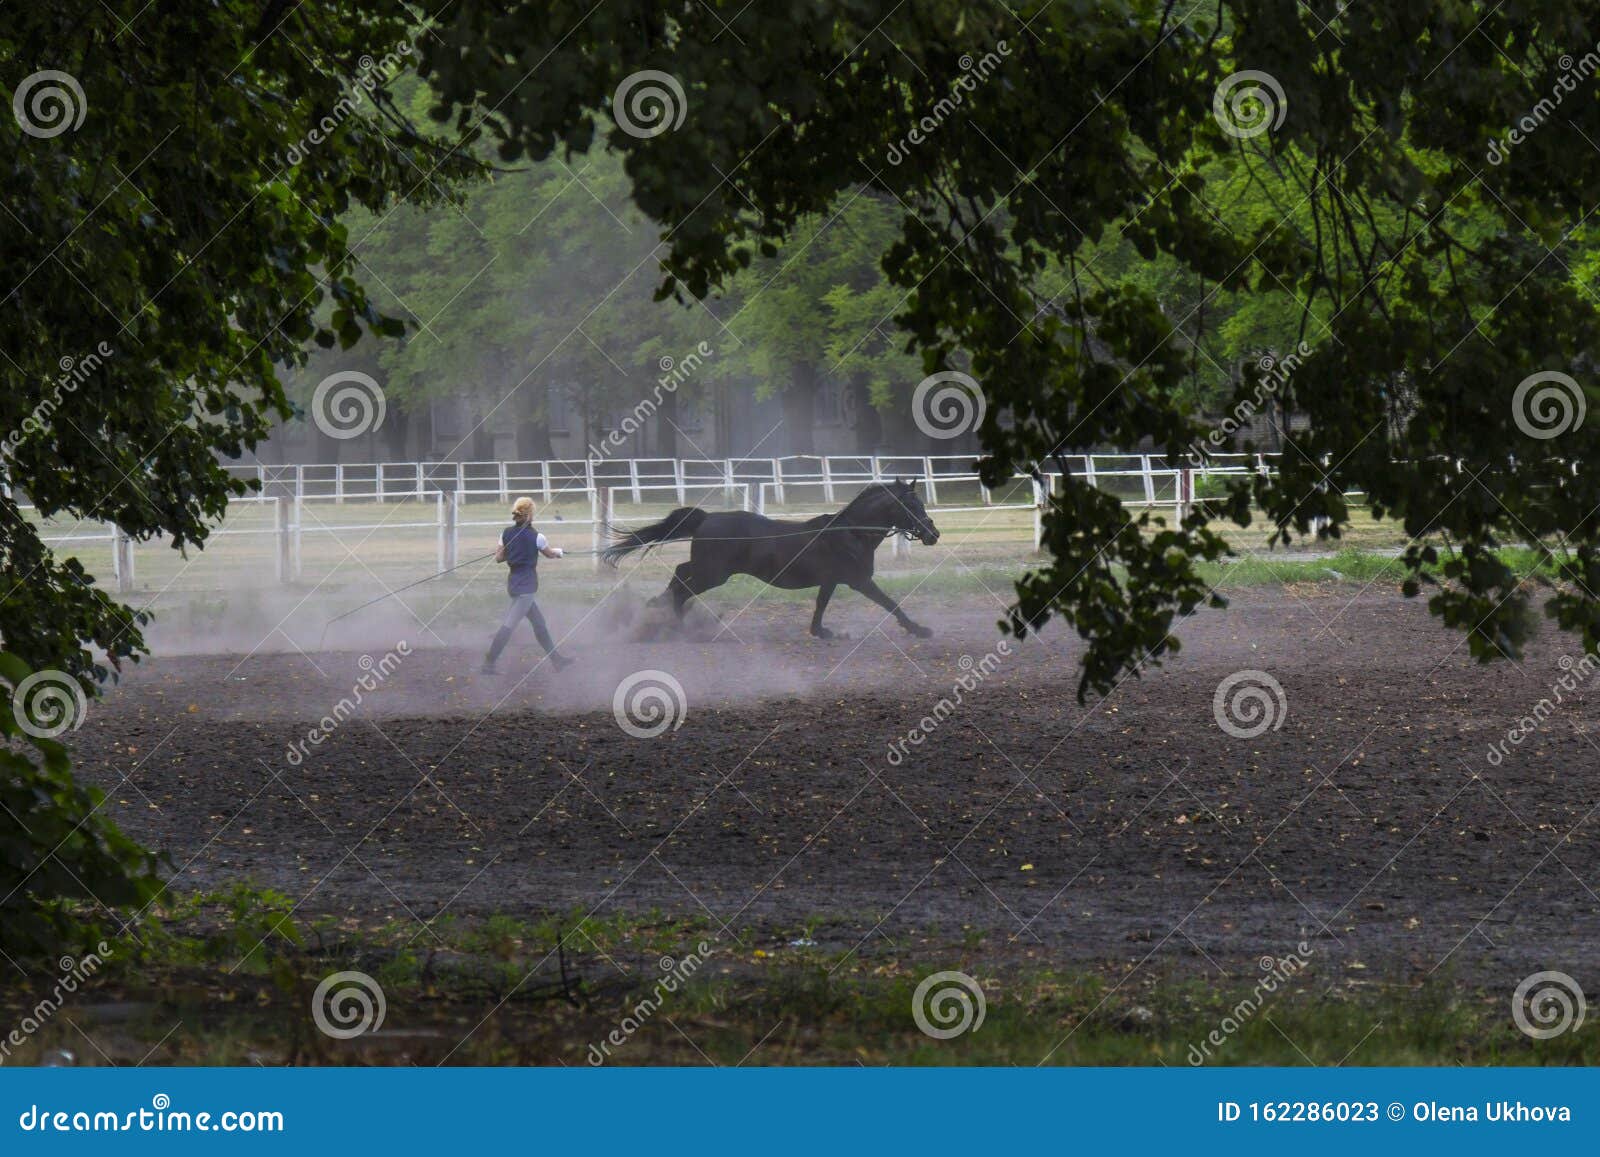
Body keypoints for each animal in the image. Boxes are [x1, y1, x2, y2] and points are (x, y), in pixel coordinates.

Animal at [603, 479, 941, 639]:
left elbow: (820, 605)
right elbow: (891, 603)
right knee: (681, 587)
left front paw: (821, 632)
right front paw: (920, 630)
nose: (933, 534)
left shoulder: (831, 581)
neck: (851, 532)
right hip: (712, 574)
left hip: (706, 570)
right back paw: (676, 625)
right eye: (912, 504)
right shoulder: (859, 581)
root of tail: (707, 518)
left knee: (678, 576)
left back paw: (658, 609)